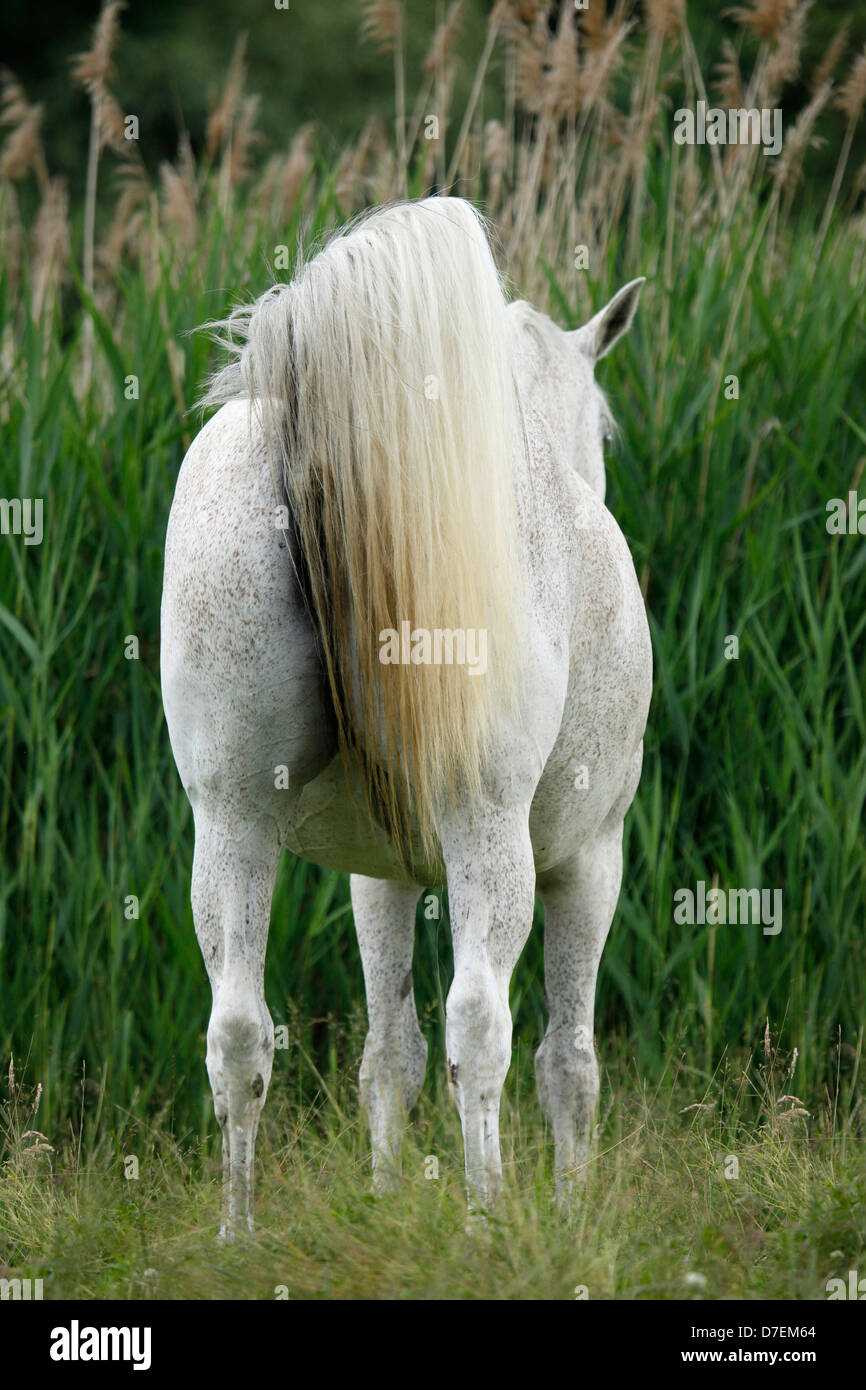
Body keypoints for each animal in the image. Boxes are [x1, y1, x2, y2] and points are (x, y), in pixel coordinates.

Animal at [160, 195, 652, 1239]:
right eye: (603, 429)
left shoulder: (376, 878)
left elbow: (388, 1054)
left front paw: (385, 1200)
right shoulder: (591, 859)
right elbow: (568, 1062)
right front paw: (570, 1218)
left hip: (231, 818)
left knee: (238, 1031)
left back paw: (237, 1237)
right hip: (487, 828)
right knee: (482, 1025)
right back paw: (485, 1222)